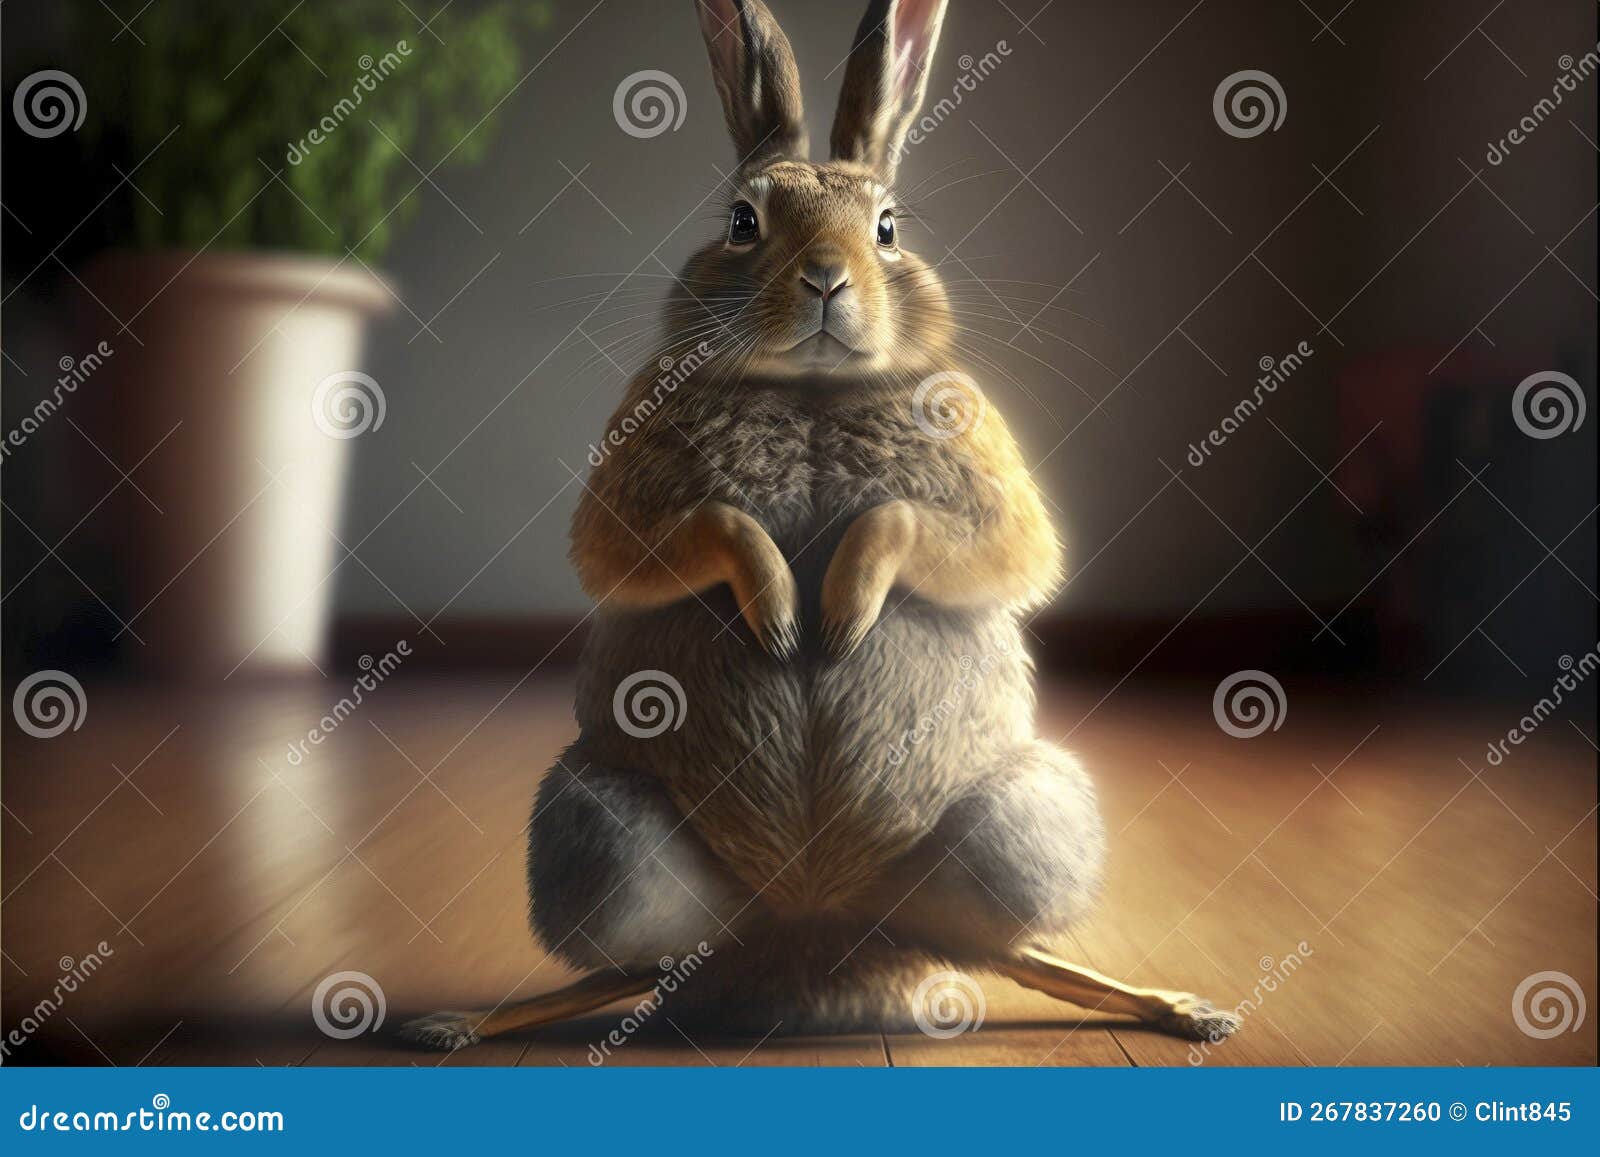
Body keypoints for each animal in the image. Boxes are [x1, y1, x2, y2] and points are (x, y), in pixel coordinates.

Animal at [402, 0, 1239, 1050]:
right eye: (742, 221)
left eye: (887, 227)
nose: (827, 280)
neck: (809, 388)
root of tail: (819, 935)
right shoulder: (629, 502)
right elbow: (678, 535)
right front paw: (782, 617)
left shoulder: (988, 500)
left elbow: (944, 533)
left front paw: (836, 618)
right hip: (596, 826)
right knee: (630, 968)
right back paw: (458, 1024)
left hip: (1018, 818)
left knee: (1012, 952)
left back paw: (1183, 1008)